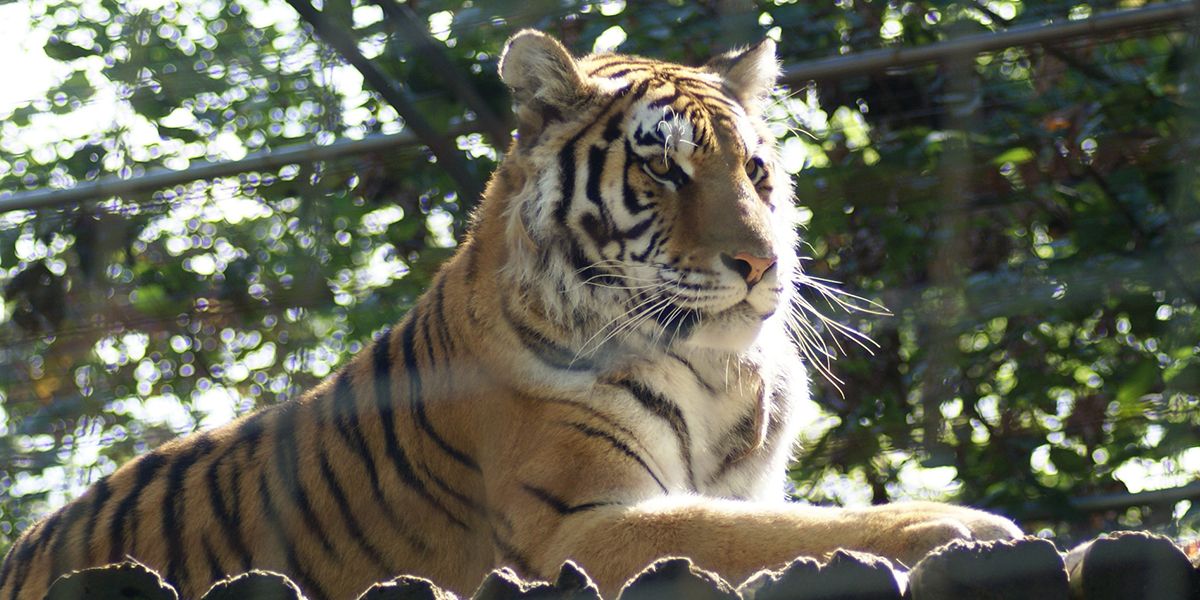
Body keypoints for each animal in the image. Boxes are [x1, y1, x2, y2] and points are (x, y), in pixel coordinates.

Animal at [0, 30, 1022, 600]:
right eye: (664, 168)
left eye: (757, 170)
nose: (764, 263)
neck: (719, 371)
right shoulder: (584, 519)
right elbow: (770, 532)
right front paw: (963, 524)